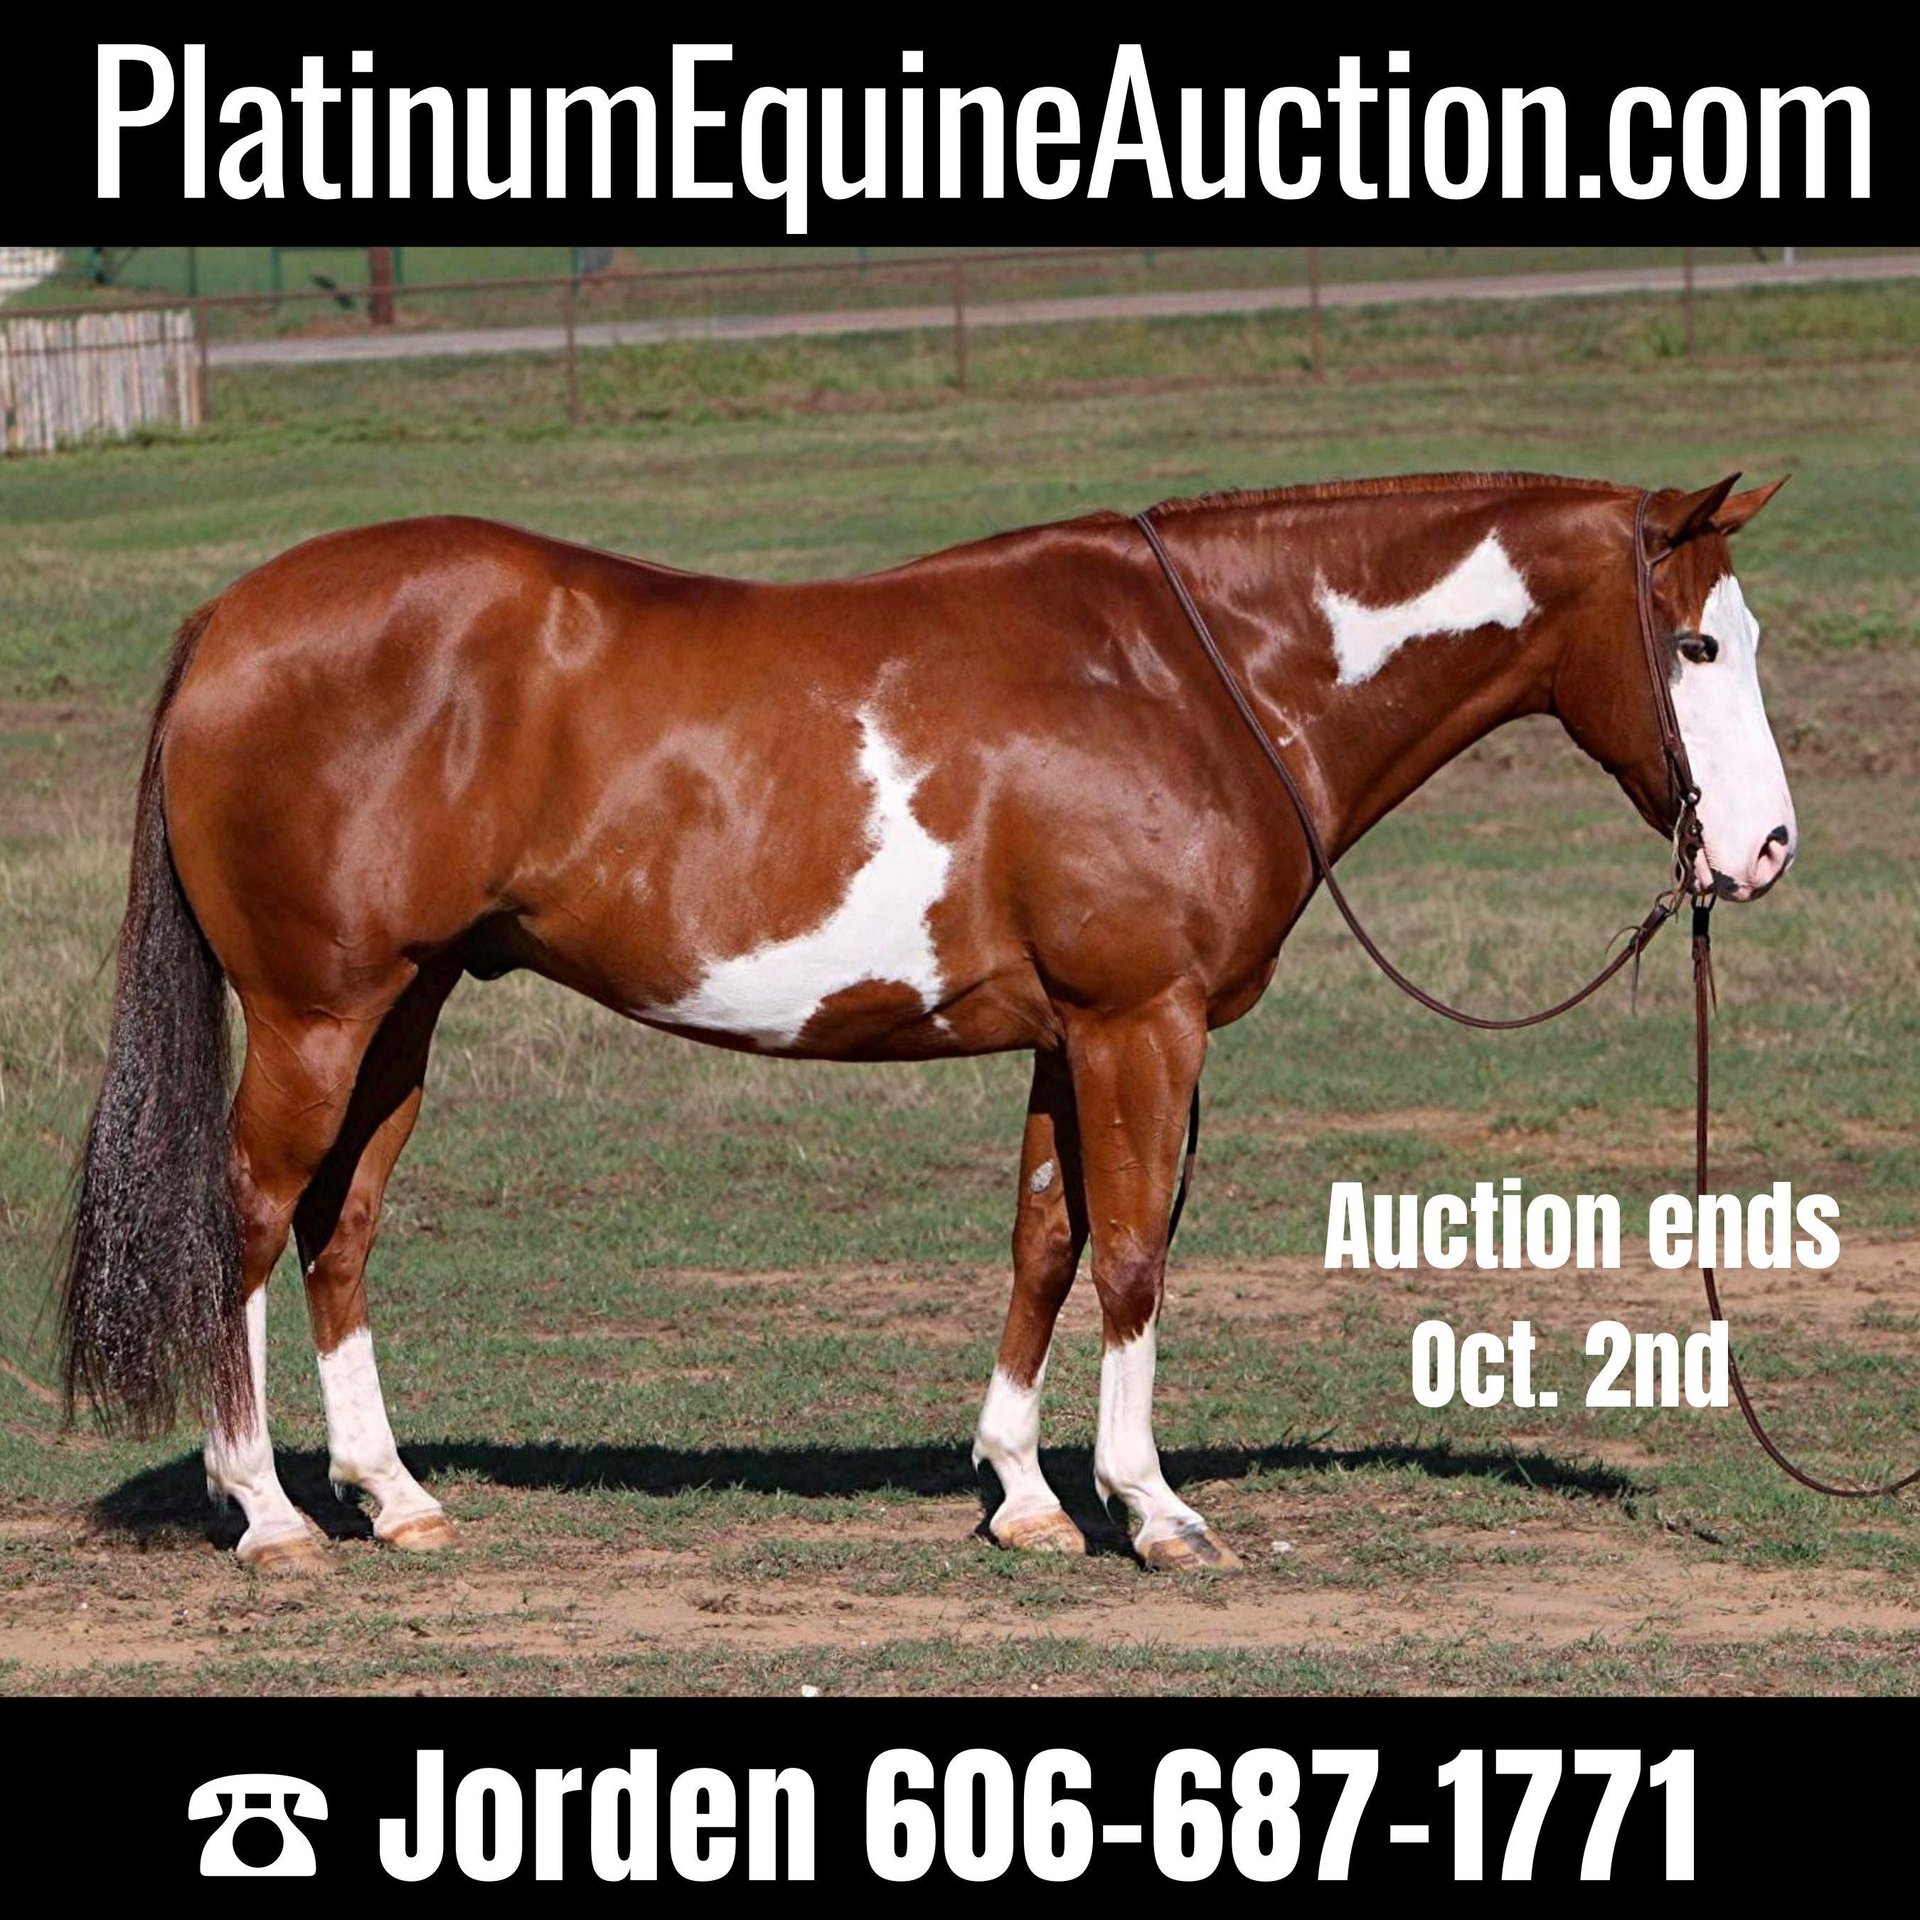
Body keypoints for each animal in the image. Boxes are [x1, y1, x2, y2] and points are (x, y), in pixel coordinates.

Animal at [59, 469, 1794, 1574]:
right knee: (249, 1219)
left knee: (339, 1227)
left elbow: (1045, 1242)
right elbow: (1135, 1251)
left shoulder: (1066, 1034)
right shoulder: (1142, 1025)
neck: (1196, 677)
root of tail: (231, 623)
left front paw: (1023, 1494)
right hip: (316, 1015)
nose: (1764, 851)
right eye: (1696, 641)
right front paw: (1153, 1509)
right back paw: (269, 1516)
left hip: (402, 1015)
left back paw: (391, 1496)